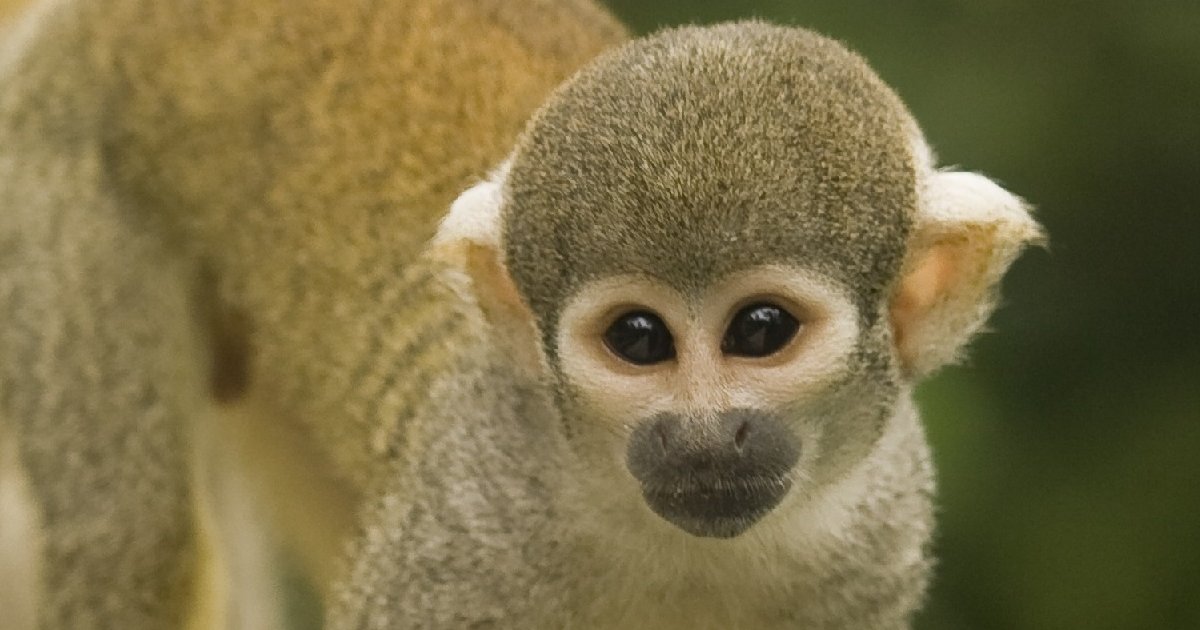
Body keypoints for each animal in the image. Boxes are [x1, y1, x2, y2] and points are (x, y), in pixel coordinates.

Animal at [0, 1, 1042, 629]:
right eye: (637, 340)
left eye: (760, 331)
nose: (705, 436)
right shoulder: (463, 538)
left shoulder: (879, 533)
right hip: (58, 160)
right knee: (133, 540)